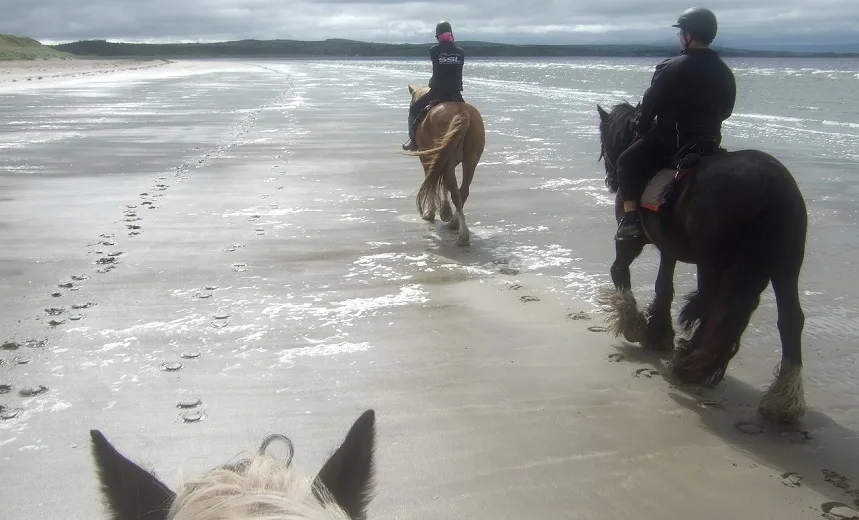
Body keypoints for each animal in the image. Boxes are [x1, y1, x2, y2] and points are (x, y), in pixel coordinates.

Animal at [402, 84, 485, 246]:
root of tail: (463, 112)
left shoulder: (427, 158)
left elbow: (432, 182)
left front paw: (430, 213)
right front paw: (445, 211)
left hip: (447, 159)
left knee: (455, 192)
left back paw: (462, 235)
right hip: (471, 160)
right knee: (462, 191)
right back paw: (454, 223)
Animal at [595, 101, 809, 424]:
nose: (611, 179)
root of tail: (773, 190)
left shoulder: (631, 240)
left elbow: (619, 269)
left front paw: (633, 323)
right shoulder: (668, 247)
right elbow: (663, 285)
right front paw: (657, 333)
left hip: (714, 263)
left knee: (713, 308)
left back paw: (688, 365)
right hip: (786, 267)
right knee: (789, 320)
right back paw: (783, 400)